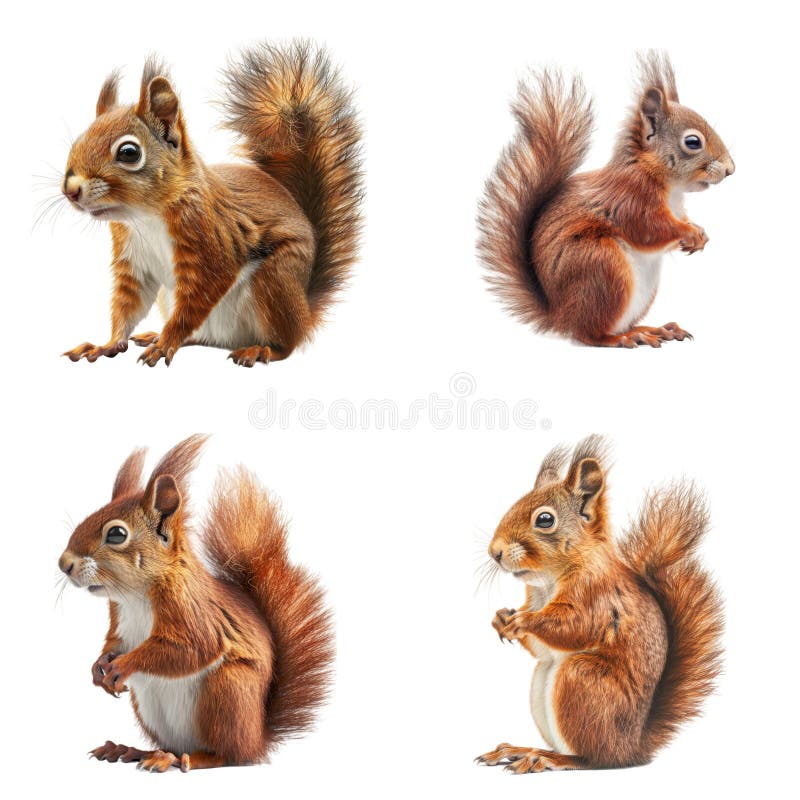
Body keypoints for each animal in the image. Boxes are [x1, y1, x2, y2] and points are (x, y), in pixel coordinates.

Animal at [57, 435, 333, 772]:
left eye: (117, 534)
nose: (64, 564)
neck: (135, 594)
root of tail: (258, 739)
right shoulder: (119, 619)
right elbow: (114, 643)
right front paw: (99, 666)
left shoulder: (192, 610)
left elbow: (191, 648)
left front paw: (123, 665)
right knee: (171, 745)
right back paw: (138, 751)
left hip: (228, 692)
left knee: (228, 754)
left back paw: (190, 758)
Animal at [61, 41, 362, 367]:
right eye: (78, 141)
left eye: (129, 152)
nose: (70, 190)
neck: (146, 216)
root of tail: (305, 311)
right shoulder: (133, 260)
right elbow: (128, 305)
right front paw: (108, 344)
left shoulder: (212, 245)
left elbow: (196, 301)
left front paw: (164, 345)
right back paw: (157, 335)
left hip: (275, 282)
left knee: (286, 345)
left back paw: (260, 349)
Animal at [476, 435, 723, 773]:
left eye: (545, 519)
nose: (494, 551)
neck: (548, 581)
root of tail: (633, 748)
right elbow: (541, 648)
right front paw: (501, 618)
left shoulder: (597, 596)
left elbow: (574, 627)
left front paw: (524, 621)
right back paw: (519, 749)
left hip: (581, 680)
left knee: (594, 759)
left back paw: (545, 758)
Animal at [477, 51, 734, 347]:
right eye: (693, 142)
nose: (731, 169)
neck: (668, 186)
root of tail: (560, 315)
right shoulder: (630, 198)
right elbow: (649, 229)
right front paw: (688, 233)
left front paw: (698, 232)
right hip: (602, 267)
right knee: (590, 334)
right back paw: (625, 338)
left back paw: (654, 329)